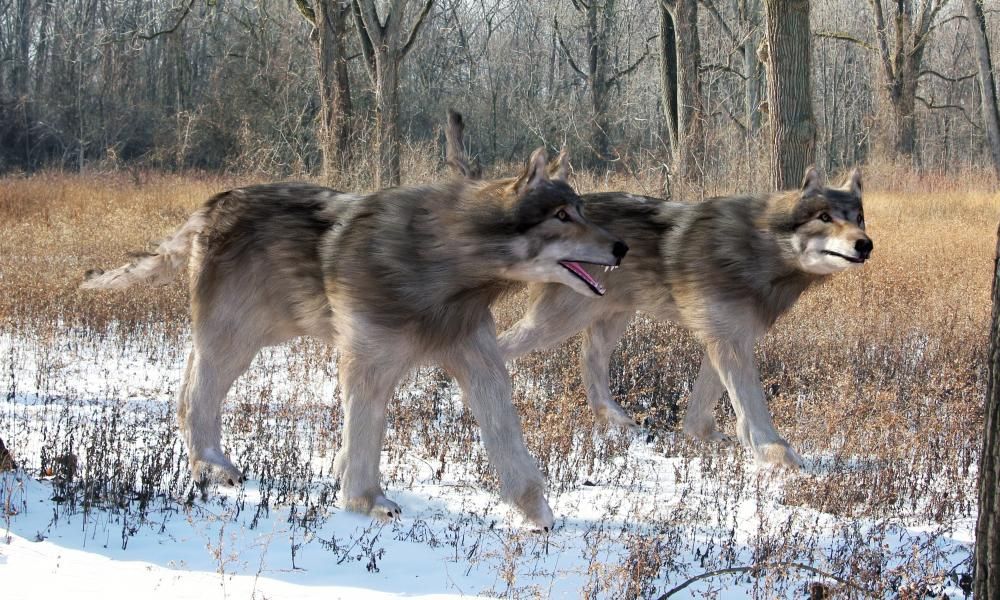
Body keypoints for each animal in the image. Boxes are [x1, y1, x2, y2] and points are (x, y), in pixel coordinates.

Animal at [81, 148, 628, 529]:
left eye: (582, 209)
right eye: (561, 216)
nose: (622, 246)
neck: (445, 265)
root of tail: (211, 205)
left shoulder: (482, 366)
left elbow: (507, 440)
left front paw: (538, 513)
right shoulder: (365, 367)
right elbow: (365, 438)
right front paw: (365, 502)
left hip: (252, 337)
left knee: (188, 382)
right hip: (236, 342)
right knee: (200, 394)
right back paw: (210, 465)